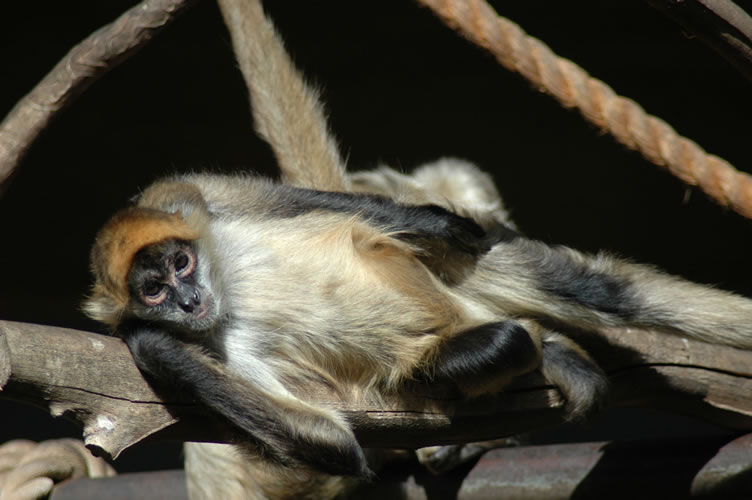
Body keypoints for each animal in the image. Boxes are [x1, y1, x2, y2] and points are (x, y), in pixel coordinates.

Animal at [81, 0, 752, 498]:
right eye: (153, 291)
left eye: (181, 263)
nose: (188, 298)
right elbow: (330, 442)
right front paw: (148, 339)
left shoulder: (185, 194)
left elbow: (323, 208)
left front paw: (443, 224)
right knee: (506, 340)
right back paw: (540, 353)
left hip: (465, 277)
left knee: (603, 292)